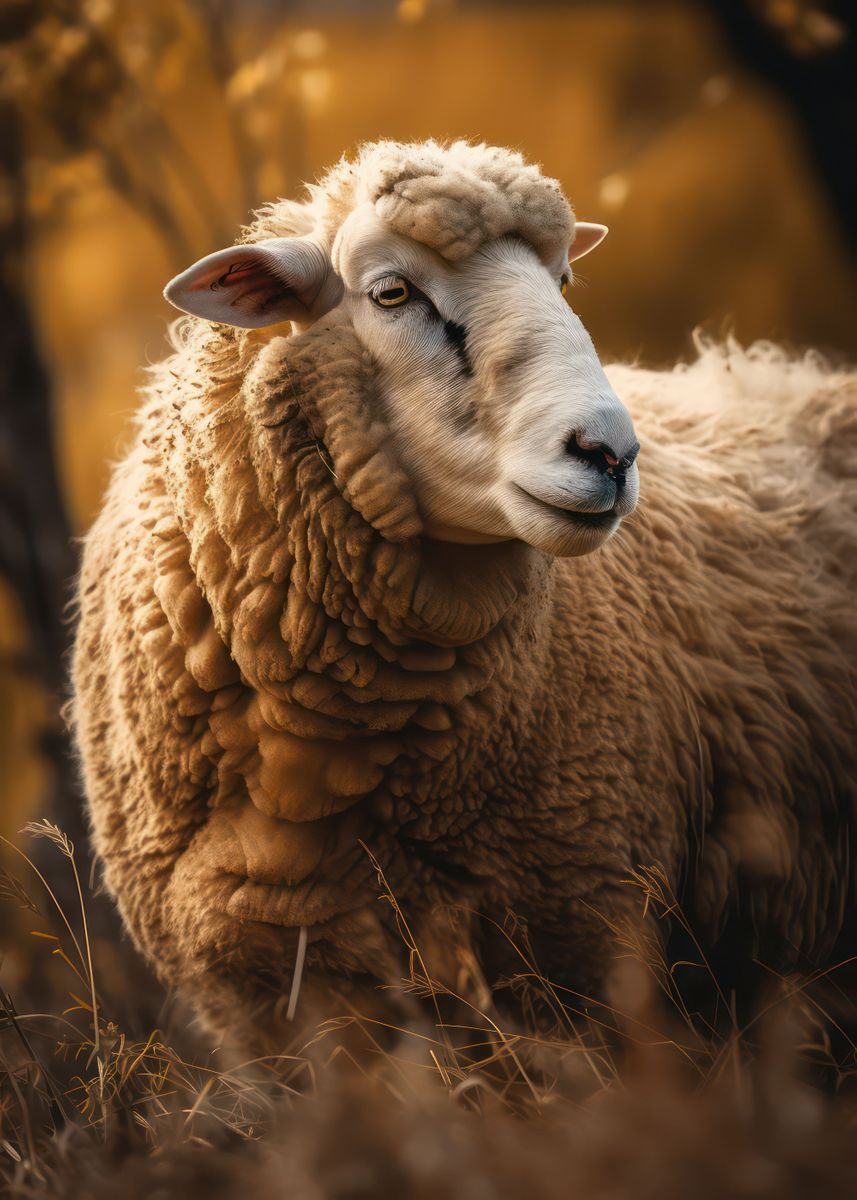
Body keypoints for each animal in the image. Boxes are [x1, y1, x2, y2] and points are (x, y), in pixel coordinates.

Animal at [71, 140, 857, 1053]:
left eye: (561, 281)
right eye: (390, 292)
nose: (609, 453)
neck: (318, 776)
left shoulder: (580, 948)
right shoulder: (261, 1000)